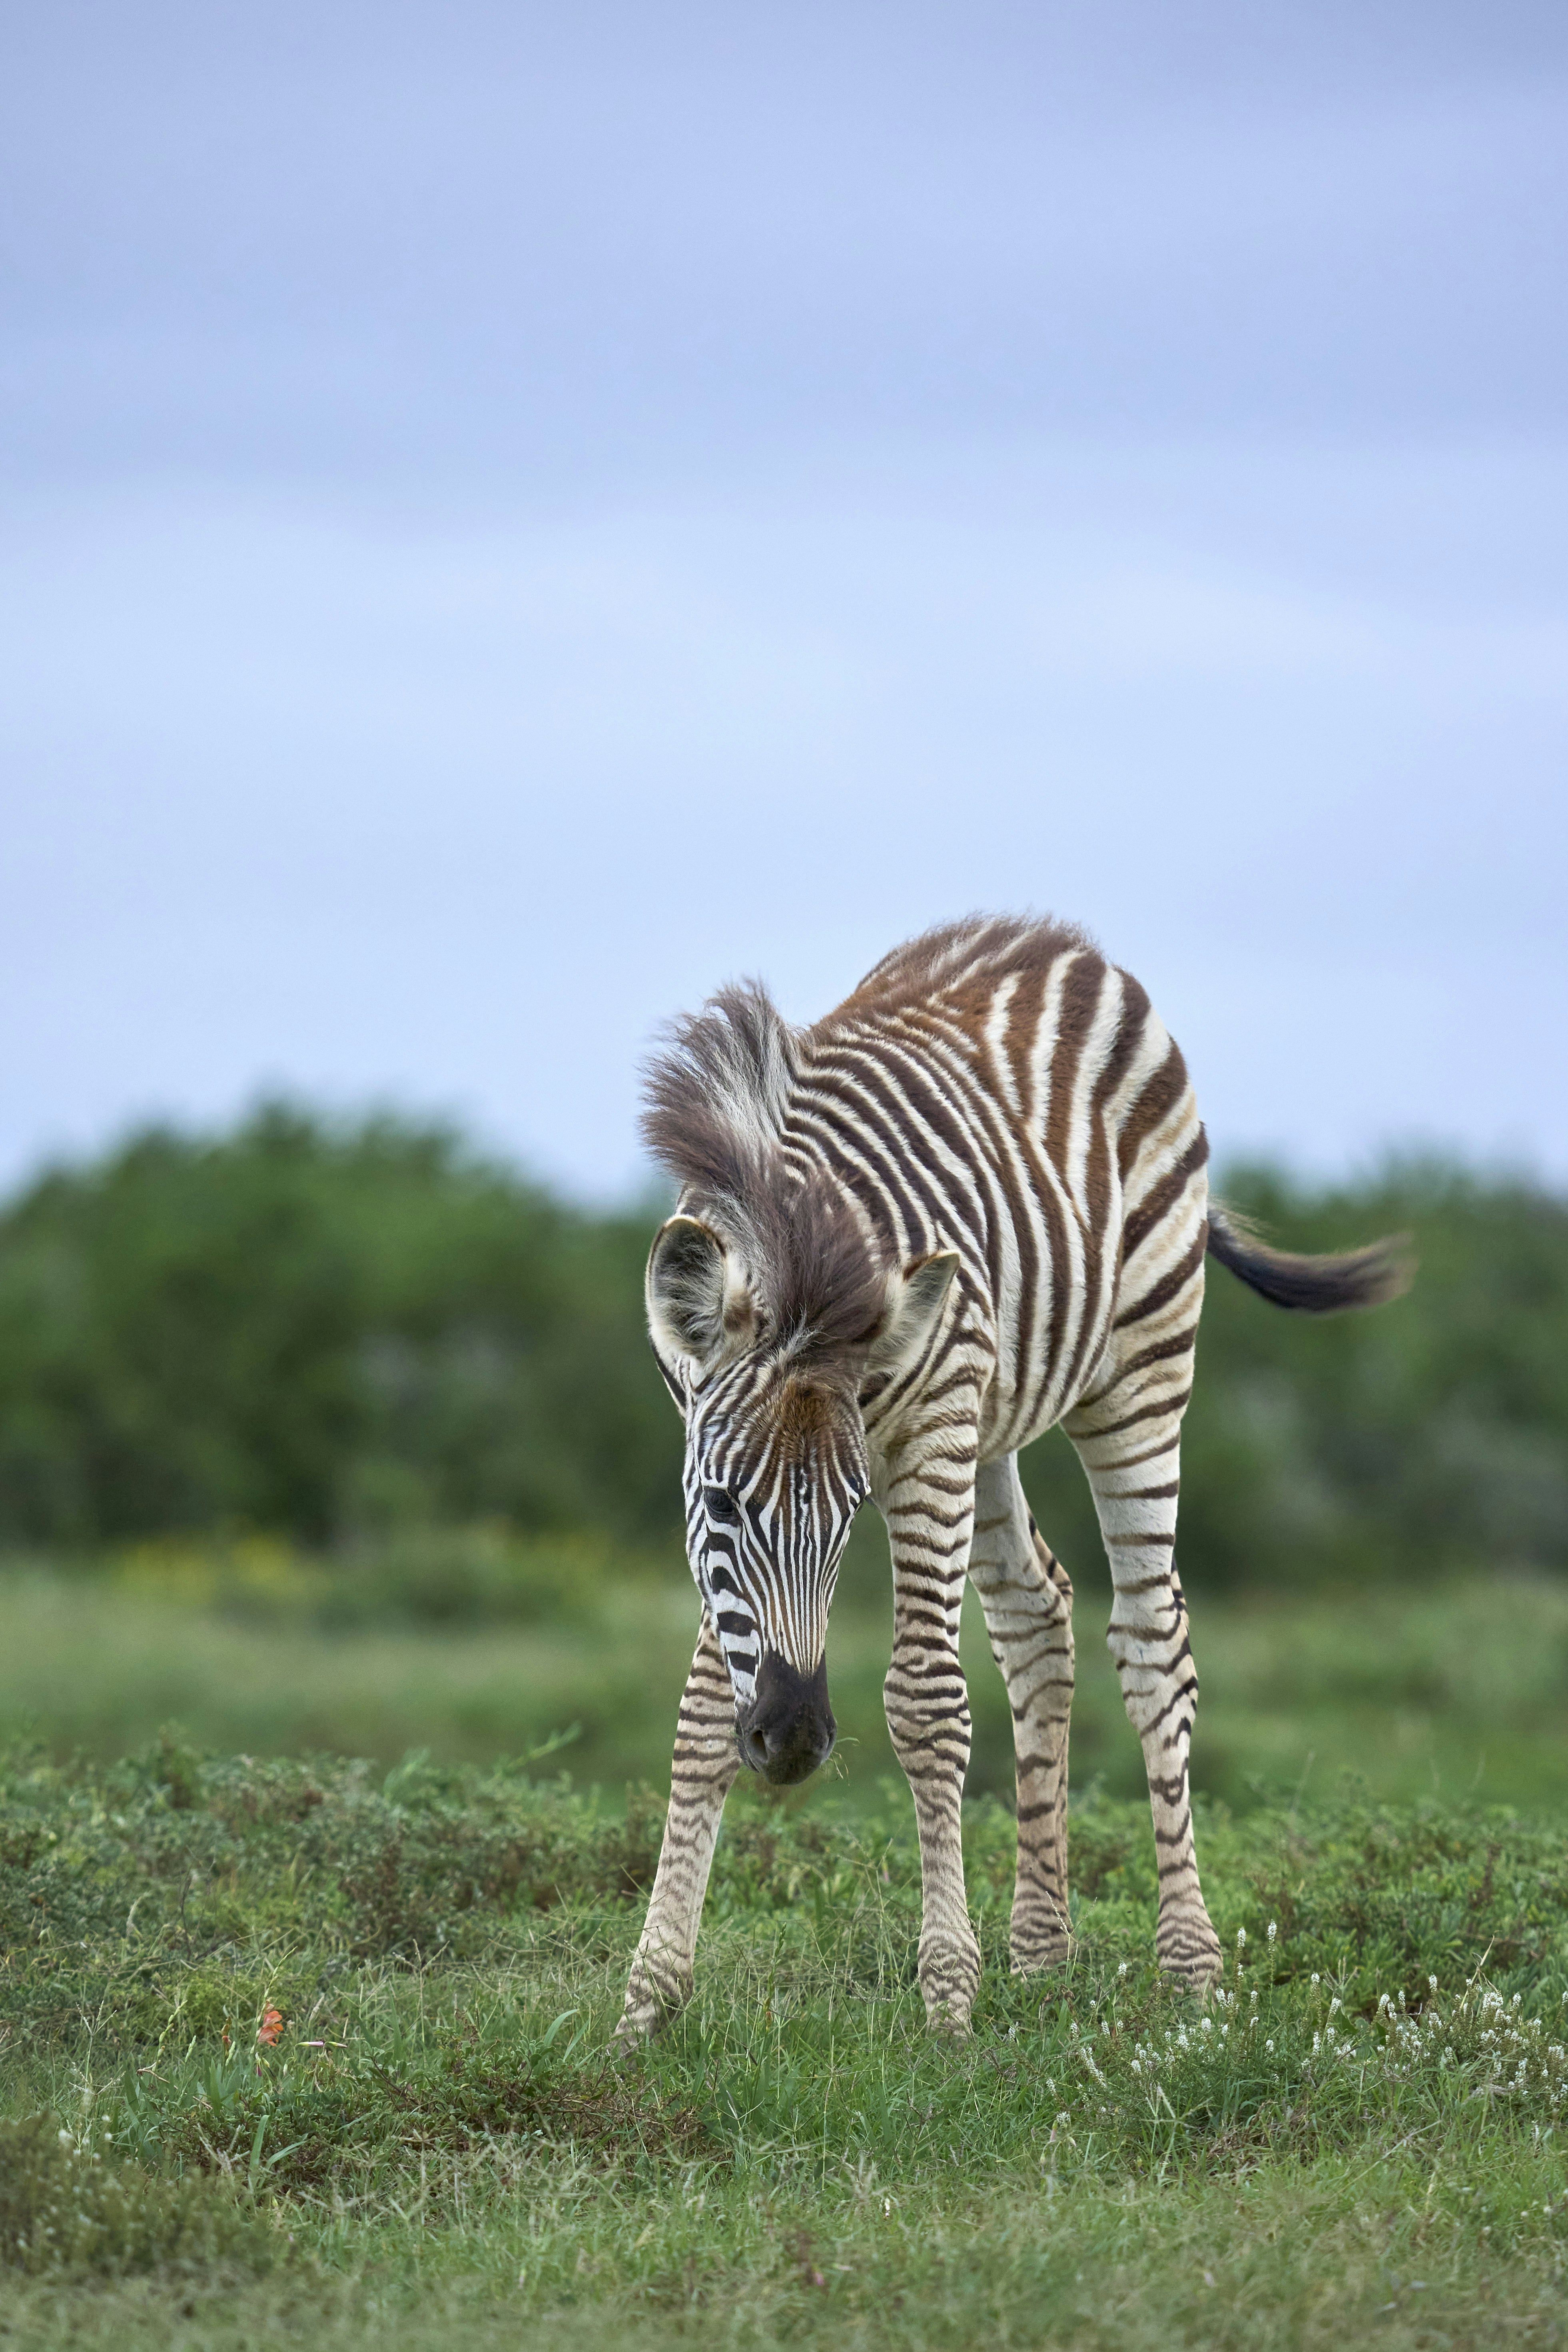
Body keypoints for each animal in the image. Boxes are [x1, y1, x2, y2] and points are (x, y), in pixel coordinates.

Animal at [617, 915, 1408, 2041]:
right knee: (1038, 1619)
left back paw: (1189, 1971)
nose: (796, 1740)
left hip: (1127, 1373)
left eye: (849, 1517)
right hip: (986, 1421)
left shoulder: (928, 1431)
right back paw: (1040, 1955)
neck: (807, 1243)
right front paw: (649, 2000)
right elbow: (697, 1714)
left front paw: (948, 1998)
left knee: (1152, 1639)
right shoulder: (712, 1443)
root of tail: (1061, 944)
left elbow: (926, 1701)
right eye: (725, 1503)